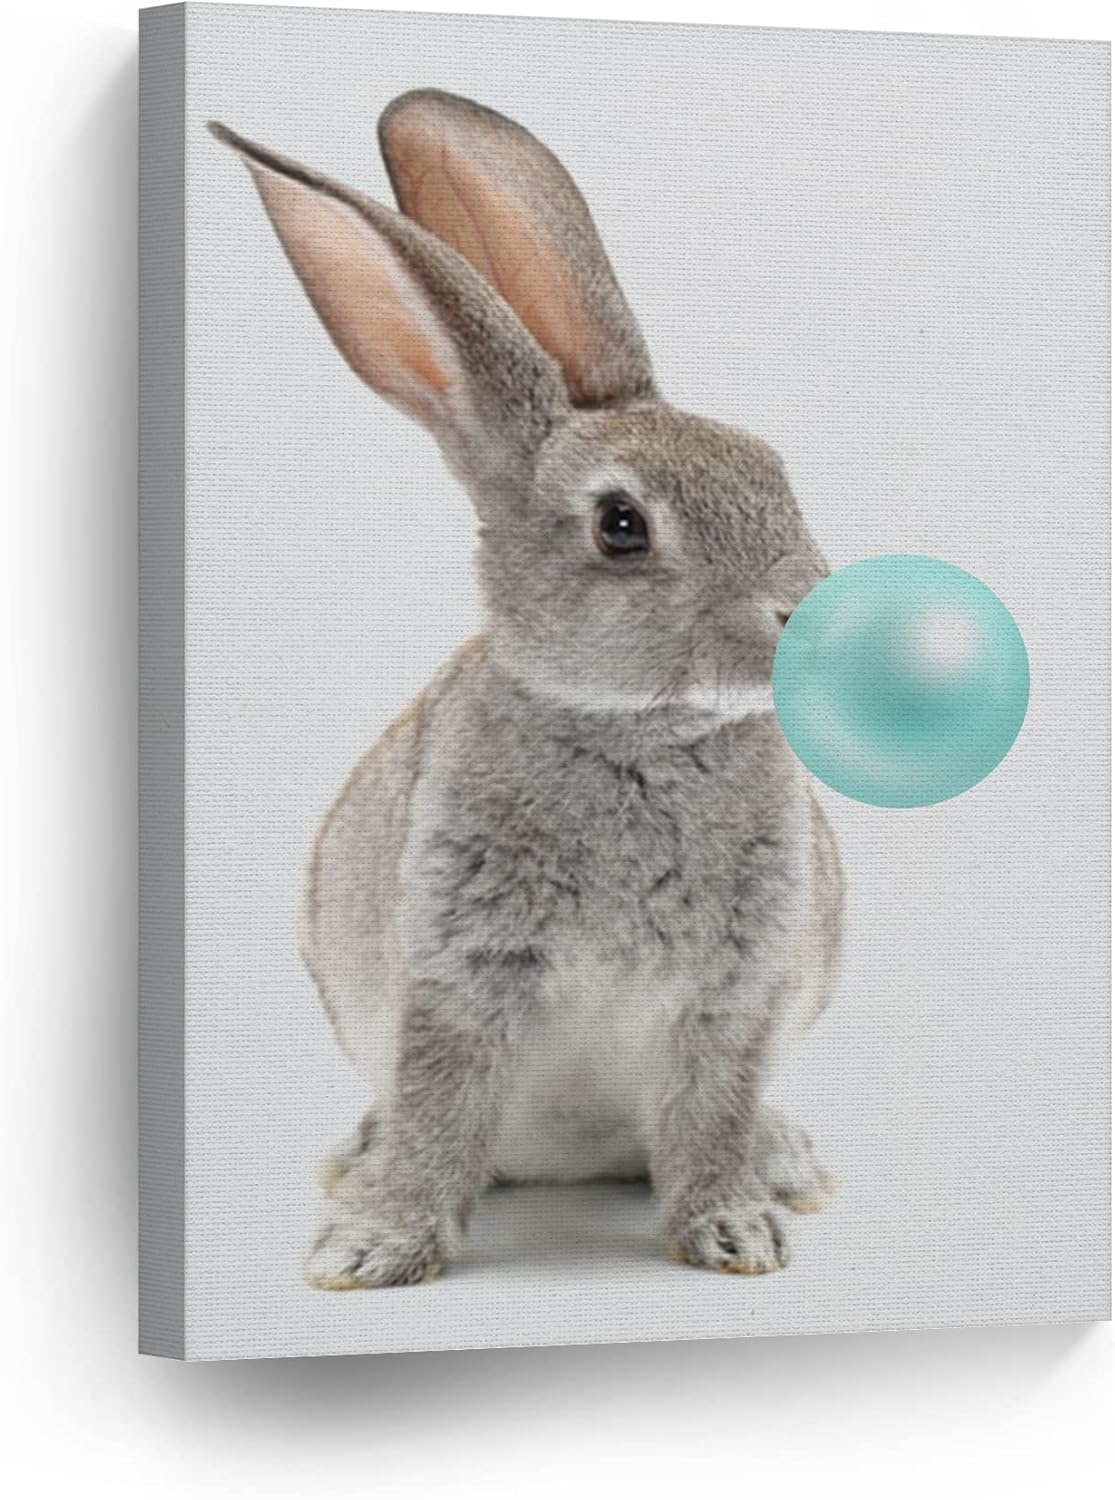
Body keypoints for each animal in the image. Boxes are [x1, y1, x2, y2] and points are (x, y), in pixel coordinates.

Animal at [210, 89, 844, 1289]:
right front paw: (373, 1248)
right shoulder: (461, 974)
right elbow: (441, 1102)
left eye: (775, 473)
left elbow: (710, 1112)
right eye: (621, 526)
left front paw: (735, 1230)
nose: (810, 613)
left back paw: (787, 1159)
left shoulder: (734, 992)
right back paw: (359, 1164)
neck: (637, 737)